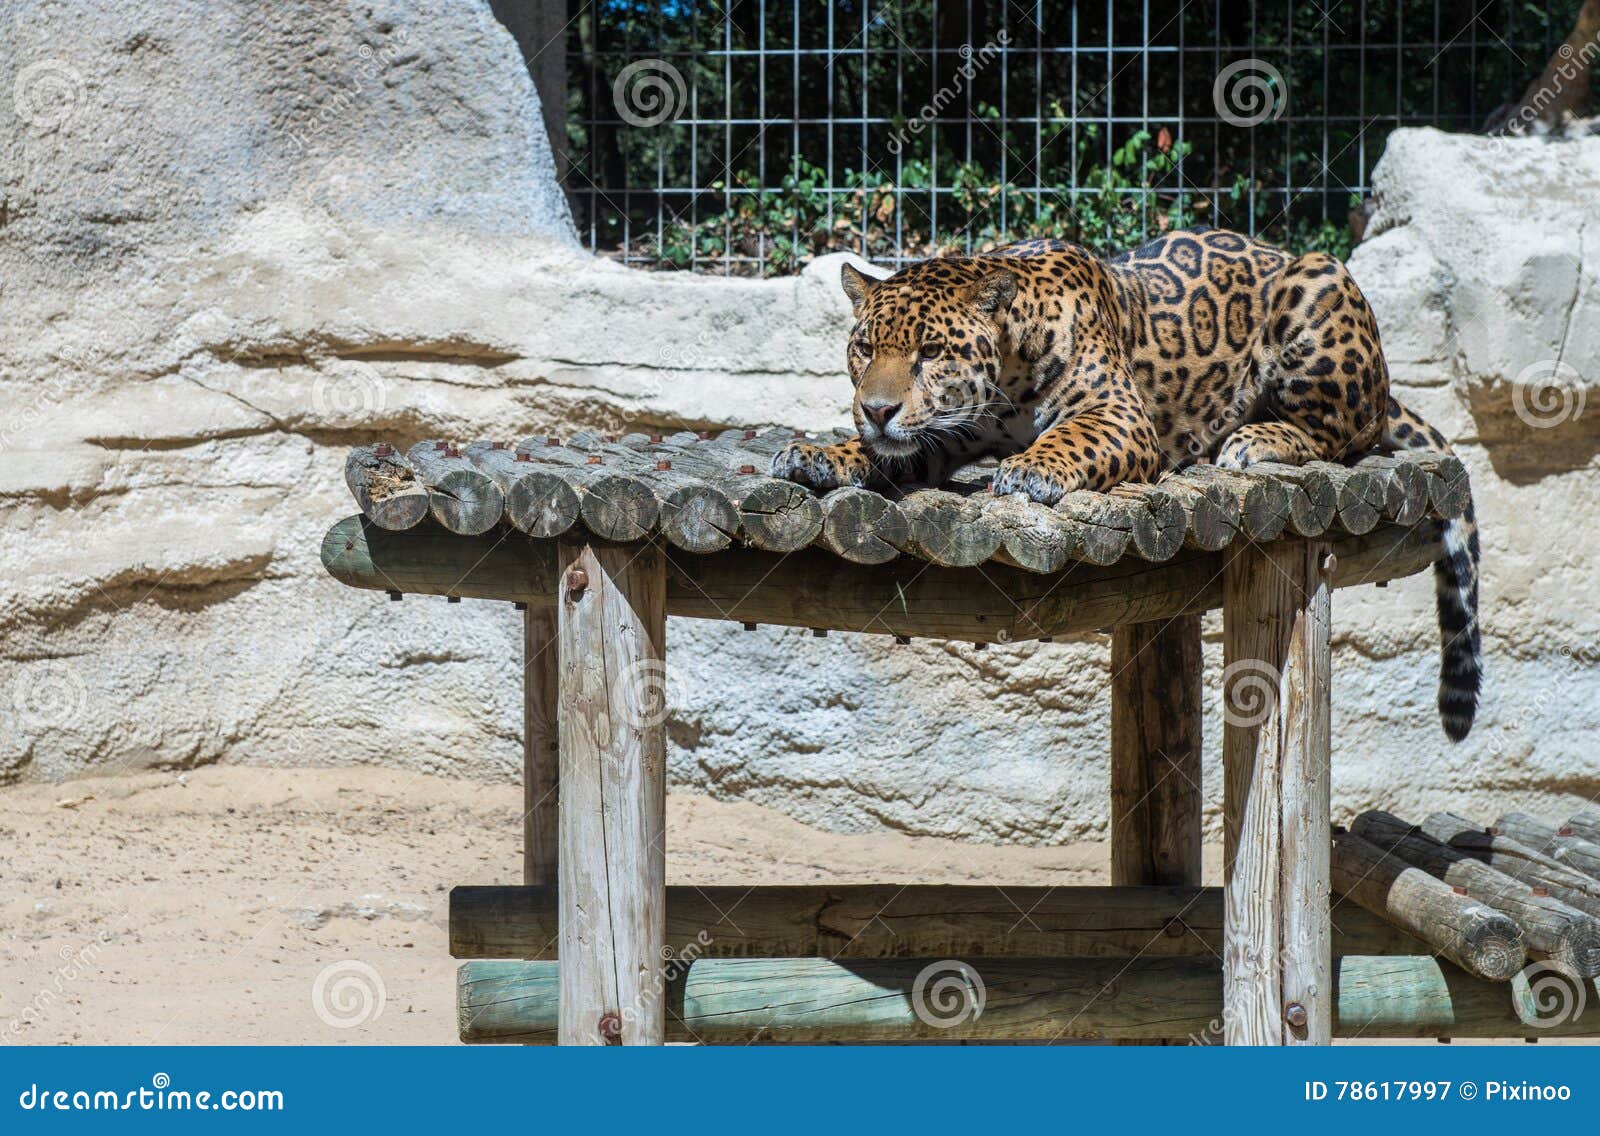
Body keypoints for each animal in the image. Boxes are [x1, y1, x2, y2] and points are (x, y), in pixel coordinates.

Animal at [771, 228, 1481, 741]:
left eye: (931, 353)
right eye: (865, 348)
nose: (876, 408)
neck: (1008, 370)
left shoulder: (1118, 415)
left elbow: (1065, 439)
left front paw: (1028, 468)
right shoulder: (943, 436)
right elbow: (886, 451)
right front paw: (821, 452)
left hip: (1317, 286)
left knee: (1349, 432)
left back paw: (1254, 438)